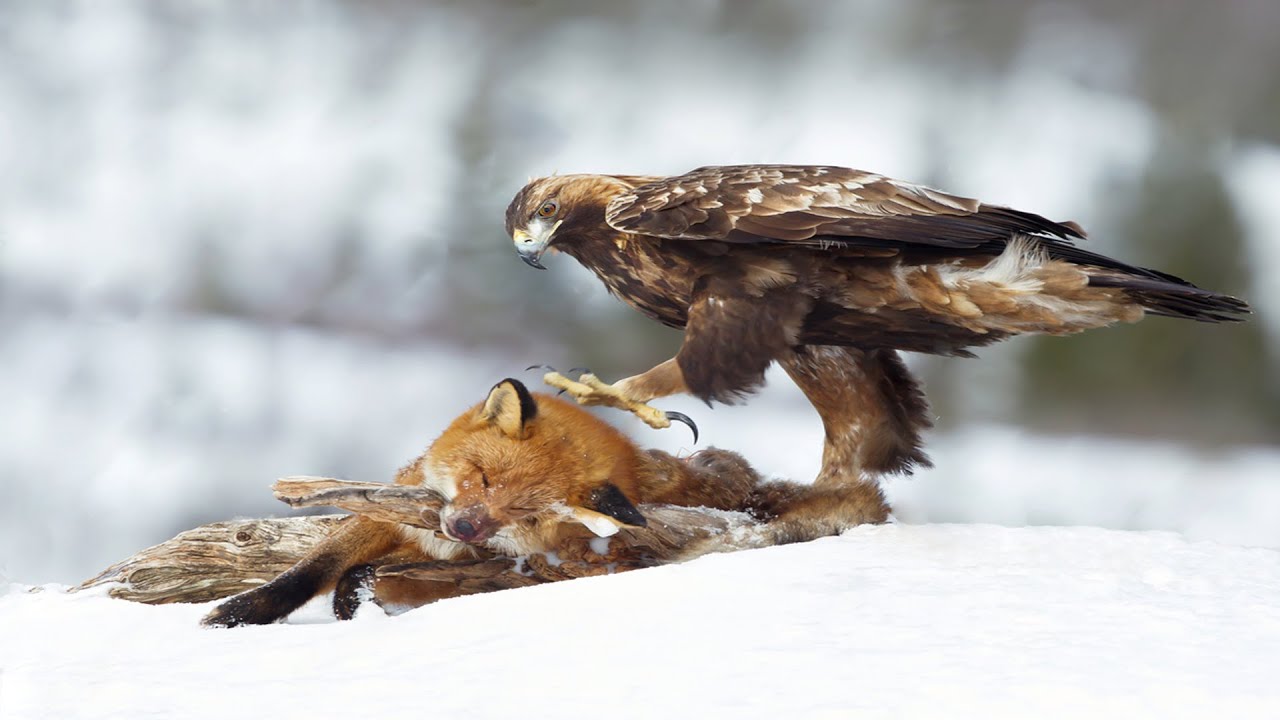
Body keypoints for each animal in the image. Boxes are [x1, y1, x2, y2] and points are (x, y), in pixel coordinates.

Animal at [202, 378, 889, 627]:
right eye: (480, 477)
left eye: (526, 511)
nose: (464, 525)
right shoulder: (389, 518)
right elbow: (311, 569)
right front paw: (240, 613)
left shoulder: (506, 564)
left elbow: (384, 576)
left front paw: (360, 595)